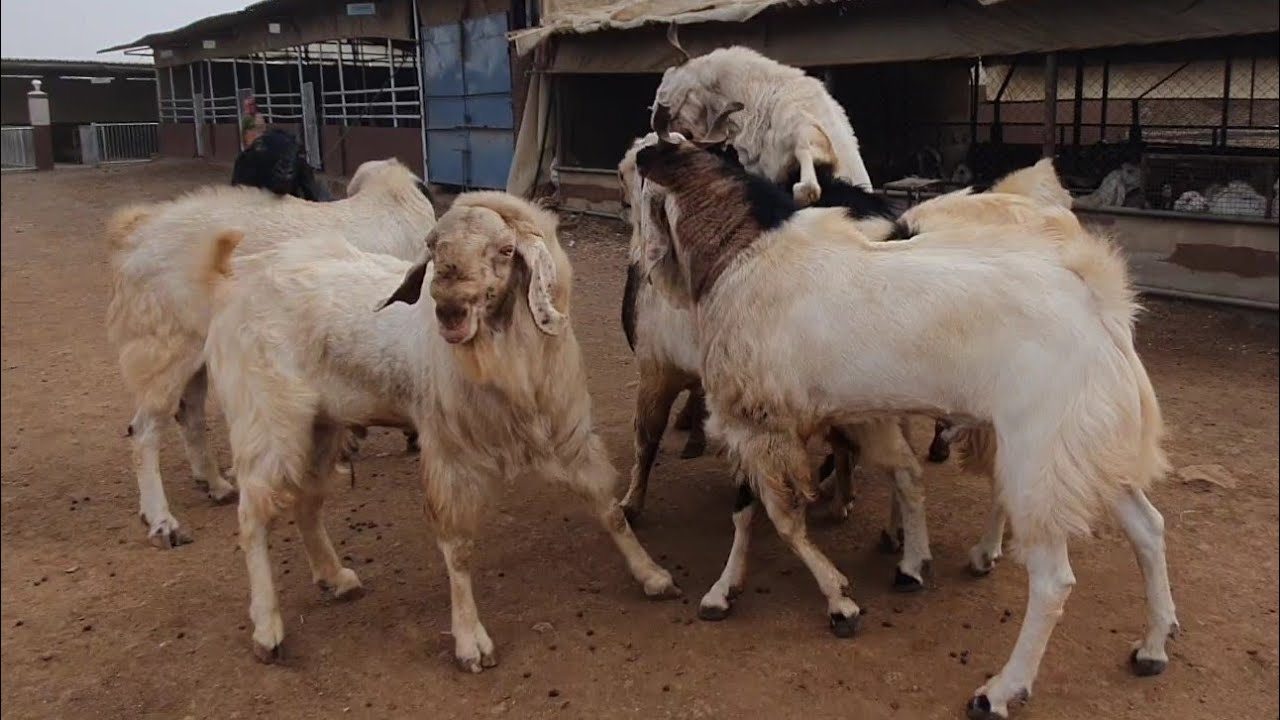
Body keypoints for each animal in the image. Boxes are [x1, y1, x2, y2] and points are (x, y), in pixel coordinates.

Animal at [105, 158, 435, 548]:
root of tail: (136, 231)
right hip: (165, 348)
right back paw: (161, 520)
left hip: (195, 352)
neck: (391, 199)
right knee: (143, 431)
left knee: (190, 415)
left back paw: (215, 484)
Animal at [202, 191, 679, 667]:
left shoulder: (567, 433)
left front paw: (652, 574)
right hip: (267, 420)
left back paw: (335, 578)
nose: (449, 311)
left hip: (321, 425)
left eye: (506, 250)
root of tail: (234, 285)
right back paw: (267, 629)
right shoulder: (453, 455)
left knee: (306, 501)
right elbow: (459, 547)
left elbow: (609, 510)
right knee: (253, 517)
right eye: (432, 247)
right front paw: (470, 639)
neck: (509, 358)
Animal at [633, 135, 1177, 719]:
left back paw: (999, 689)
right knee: (1148, 526)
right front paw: (727, 589)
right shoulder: (771, 421)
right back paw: (1153, 646)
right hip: (1089, 445)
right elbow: (753, 509)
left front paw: (837, 600)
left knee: (1053, 580)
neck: (744, 253)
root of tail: (1100, 303)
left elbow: (781, 518)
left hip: (1040, 453)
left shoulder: (755, 420)